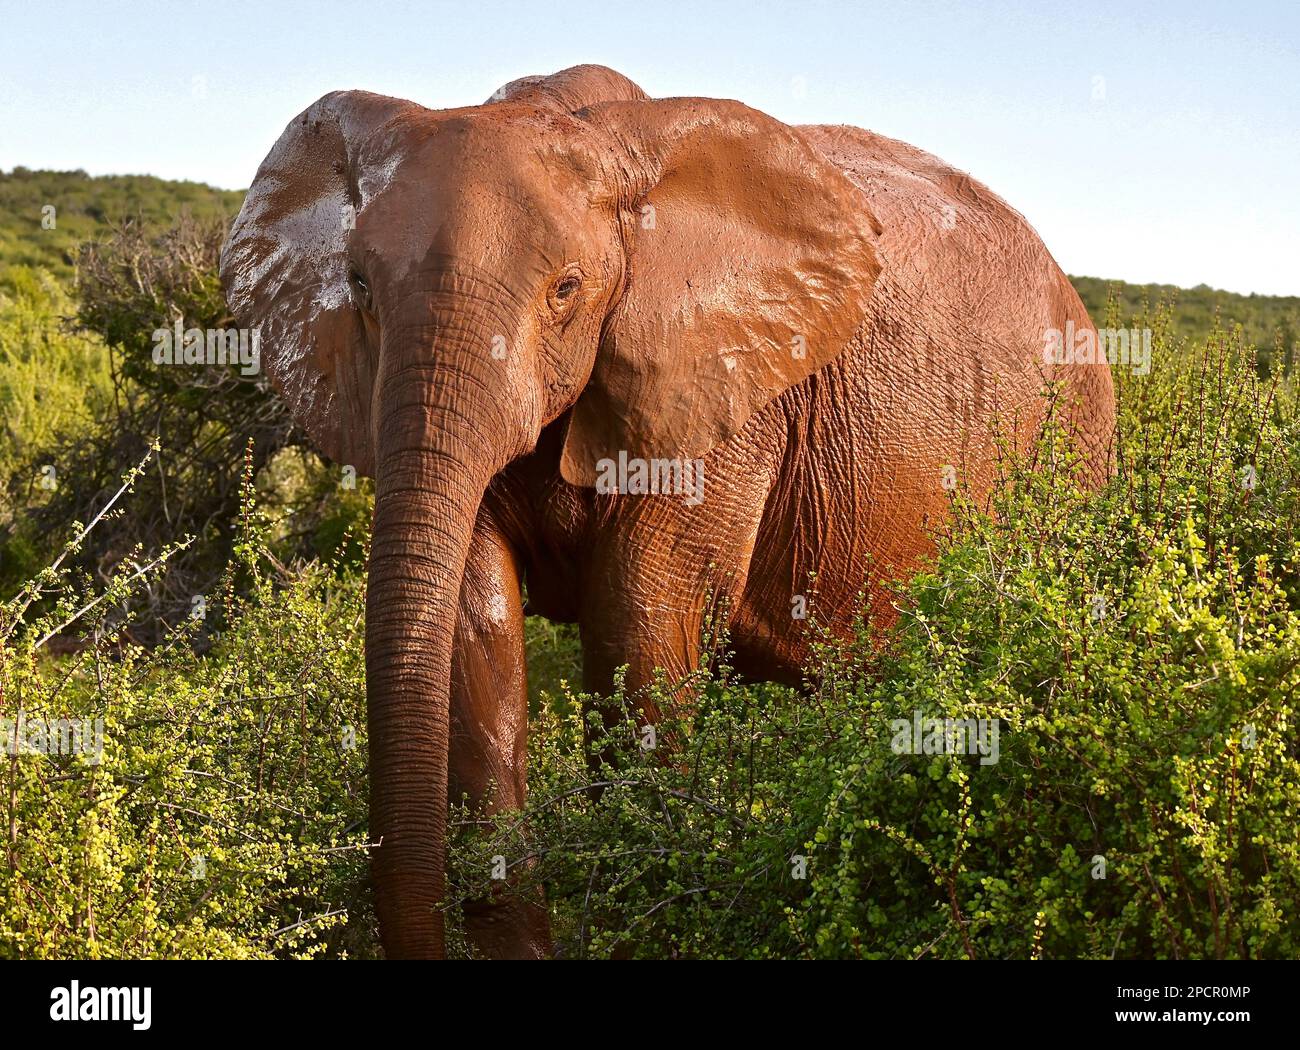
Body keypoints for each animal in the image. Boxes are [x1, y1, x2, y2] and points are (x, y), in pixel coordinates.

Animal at [219, 64, 1115, 959]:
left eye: (567, 290)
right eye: (359, 287)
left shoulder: (726, 398)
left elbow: (640, 621)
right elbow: (477, 633)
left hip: (1072, 440)